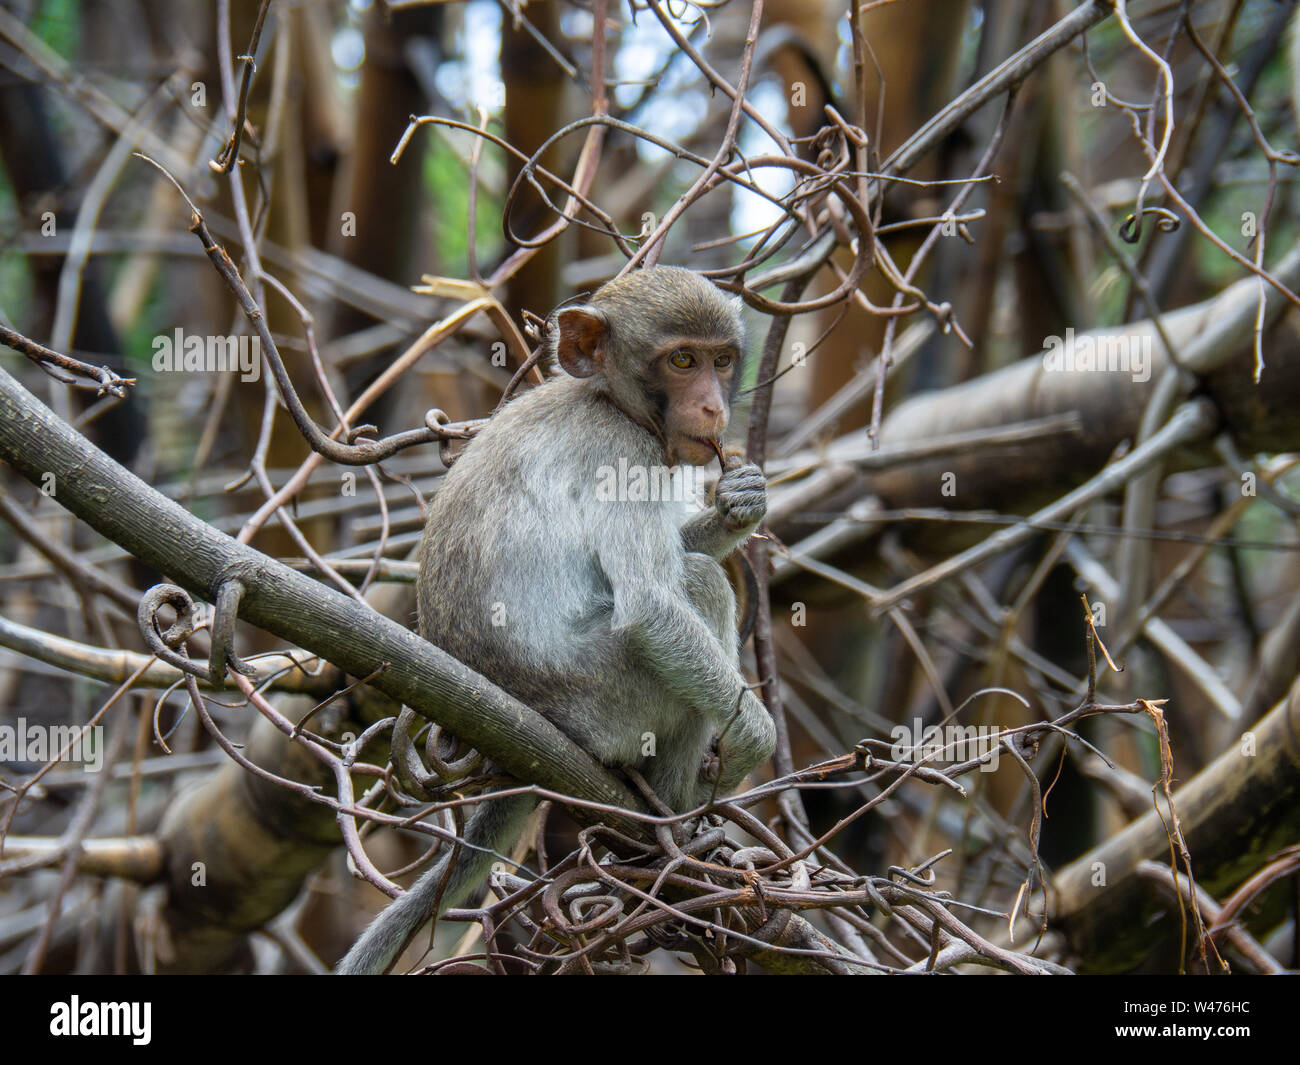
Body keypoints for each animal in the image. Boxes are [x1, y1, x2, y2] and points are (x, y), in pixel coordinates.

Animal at [336, 266, 776, 974]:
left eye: (722, 360)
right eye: (682, 361)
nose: (713, 409)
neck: (607, 399)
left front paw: (740, 503)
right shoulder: (622, 453)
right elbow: (650, 602)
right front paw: (753, 736)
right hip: (604, 697)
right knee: (698, 588)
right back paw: (675, 824)